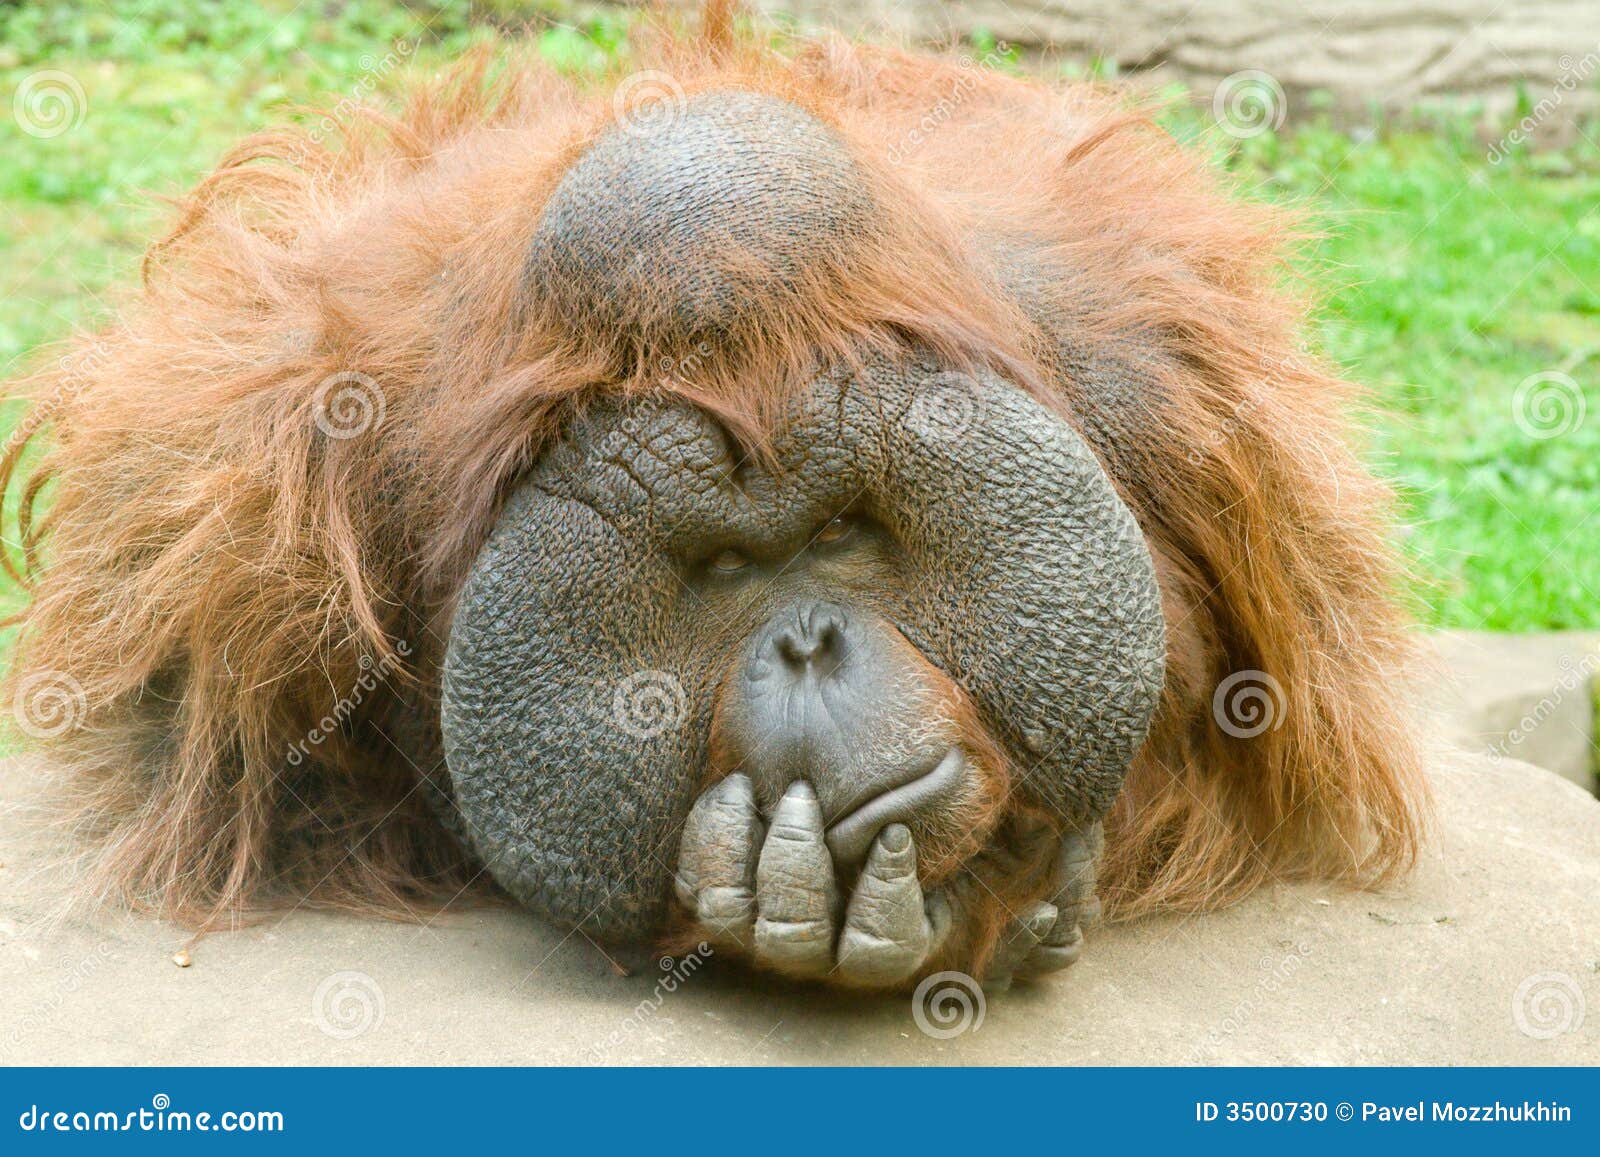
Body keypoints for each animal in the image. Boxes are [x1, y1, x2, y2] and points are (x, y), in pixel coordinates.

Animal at [0, 10, 1426, 990]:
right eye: (729, 571)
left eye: (842, 536)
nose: (804, 640)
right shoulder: (252, 522)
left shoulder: (1174, 390)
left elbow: (1262, 740)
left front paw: (1018, 899)